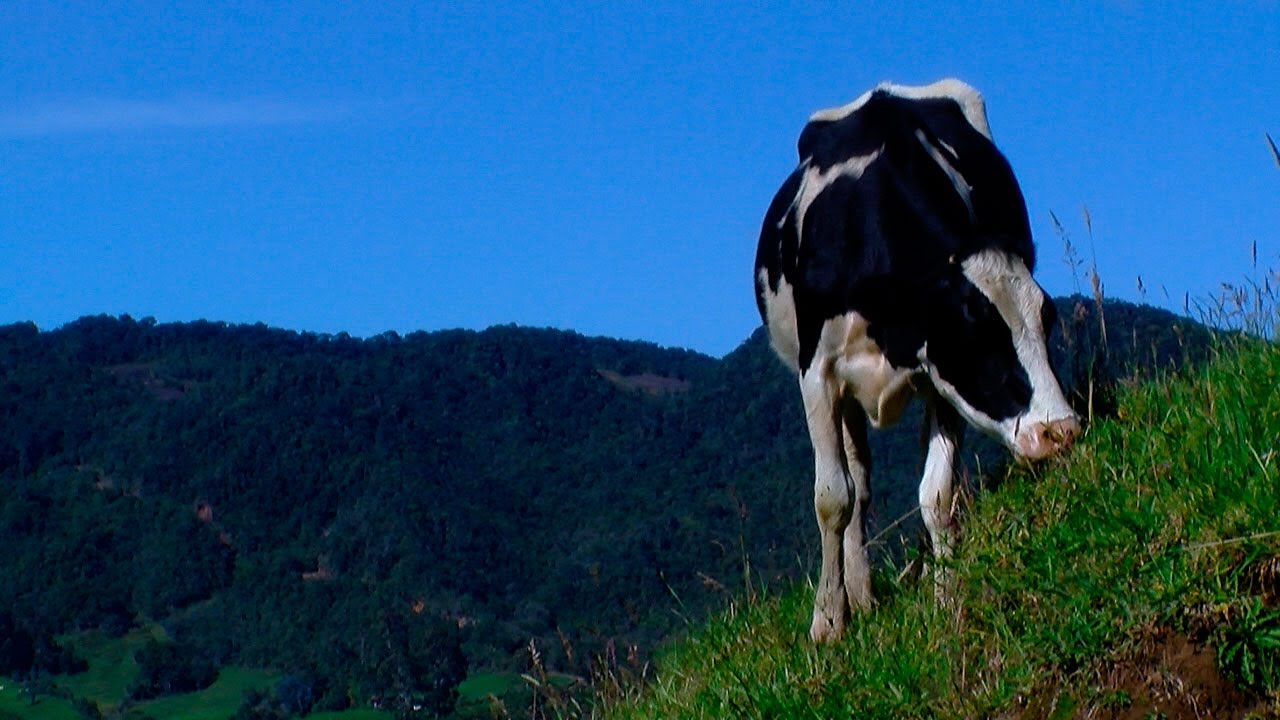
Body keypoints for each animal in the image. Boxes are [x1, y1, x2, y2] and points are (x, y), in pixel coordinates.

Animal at [754, 79, 1081, 643]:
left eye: (1048, 319)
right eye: (976, 332)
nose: (1059, 430)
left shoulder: (942, 378)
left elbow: (938, 495)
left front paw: (946, 601)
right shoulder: (817, 372)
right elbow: (832, 497)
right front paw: (827, 621)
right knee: (857, 487)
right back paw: (858, 595)